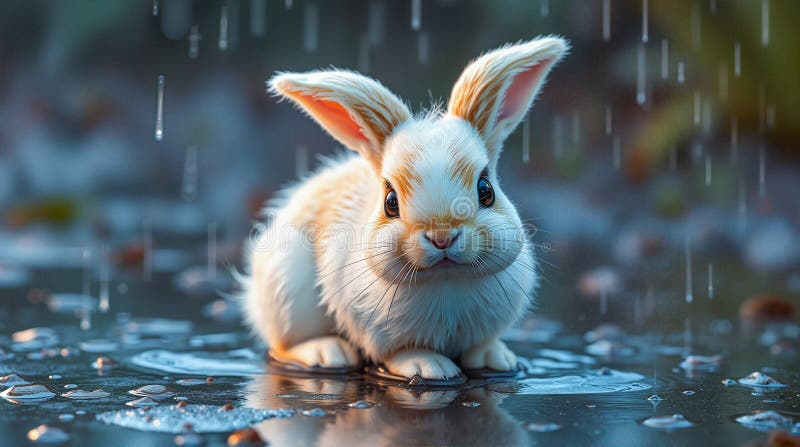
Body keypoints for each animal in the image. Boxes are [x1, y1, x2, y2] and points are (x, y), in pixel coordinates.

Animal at [243, 36, 568, 381]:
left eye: (486, 190)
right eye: (391, 202)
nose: (442, 238)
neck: (445, 280)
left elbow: (481, 346)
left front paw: (498, 358)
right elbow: (401, 353)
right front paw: (429, 367)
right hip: (287, 297)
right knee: (280, 345)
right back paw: (326, 352)